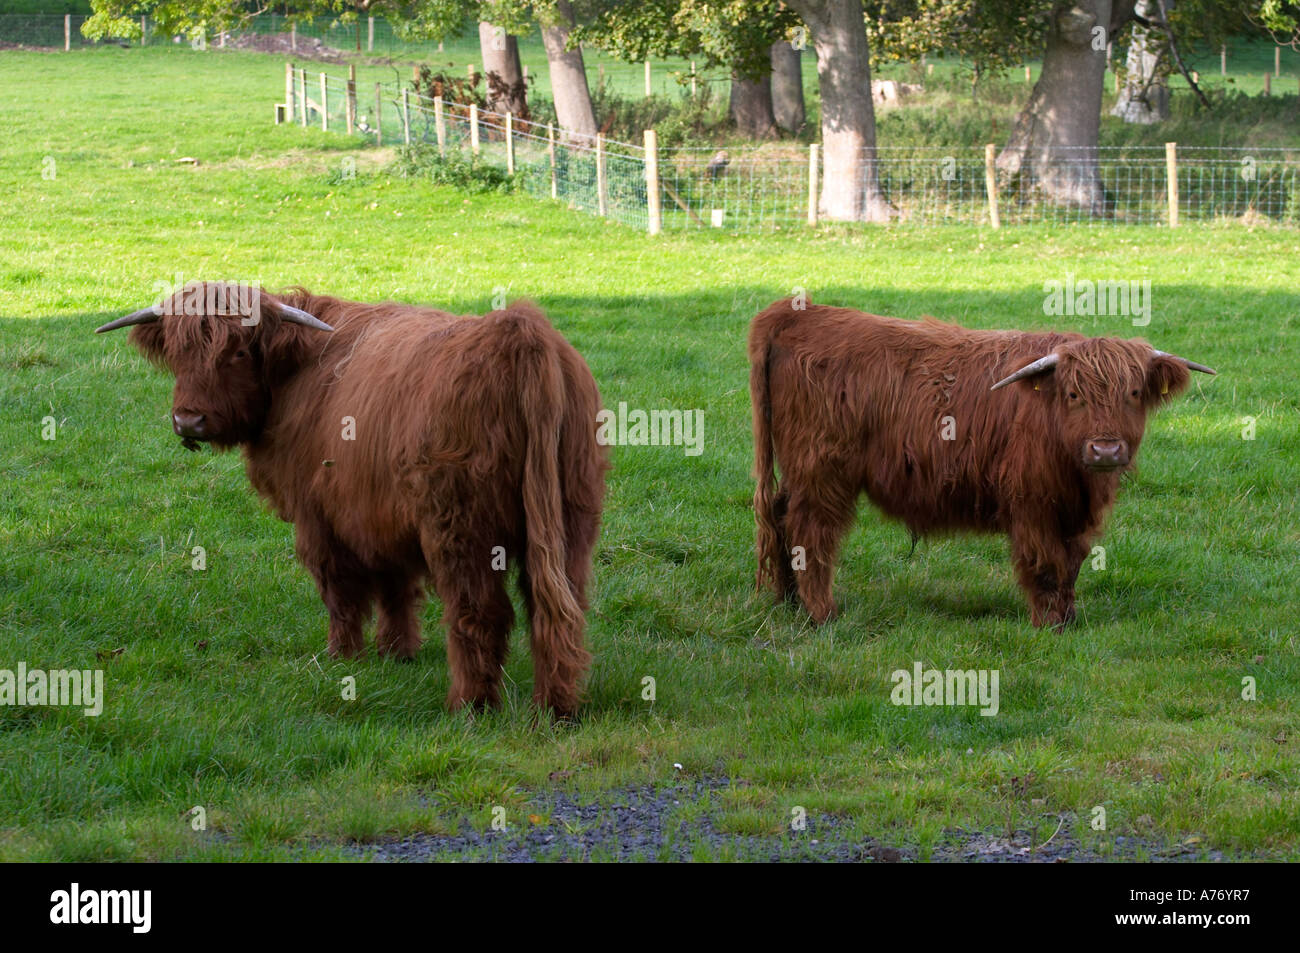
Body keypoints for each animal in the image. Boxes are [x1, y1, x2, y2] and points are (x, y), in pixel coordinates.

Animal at [98, 281, 607, 718]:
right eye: (178, 353)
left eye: (238, 352)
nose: (189, 420)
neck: (295, 372)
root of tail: (519, 333)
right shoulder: (379, 514)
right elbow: (397, 587)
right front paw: (397, 652)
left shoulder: (318, 516)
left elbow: (339, 590)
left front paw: (343, 656)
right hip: (570, 521)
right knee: (558, 608)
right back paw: (557, 707)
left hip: (461, 528)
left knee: (480, 611)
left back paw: (470, 706)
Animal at [749, 297, 1215, 628]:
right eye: (1074, 395)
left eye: (1133, 394)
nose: (1105, 450)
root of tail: (797, 312)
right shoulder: (1032, 501)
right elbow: (1046, 562)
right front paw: (1048, 623)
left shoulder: (1076, 513)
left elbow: (1072, 562)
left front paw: (1069, 617)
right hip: (821, 469)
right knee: (811, 529)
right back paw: (821, 613)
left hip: (799, 469)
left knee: (781, 516)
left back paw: (789, 601)